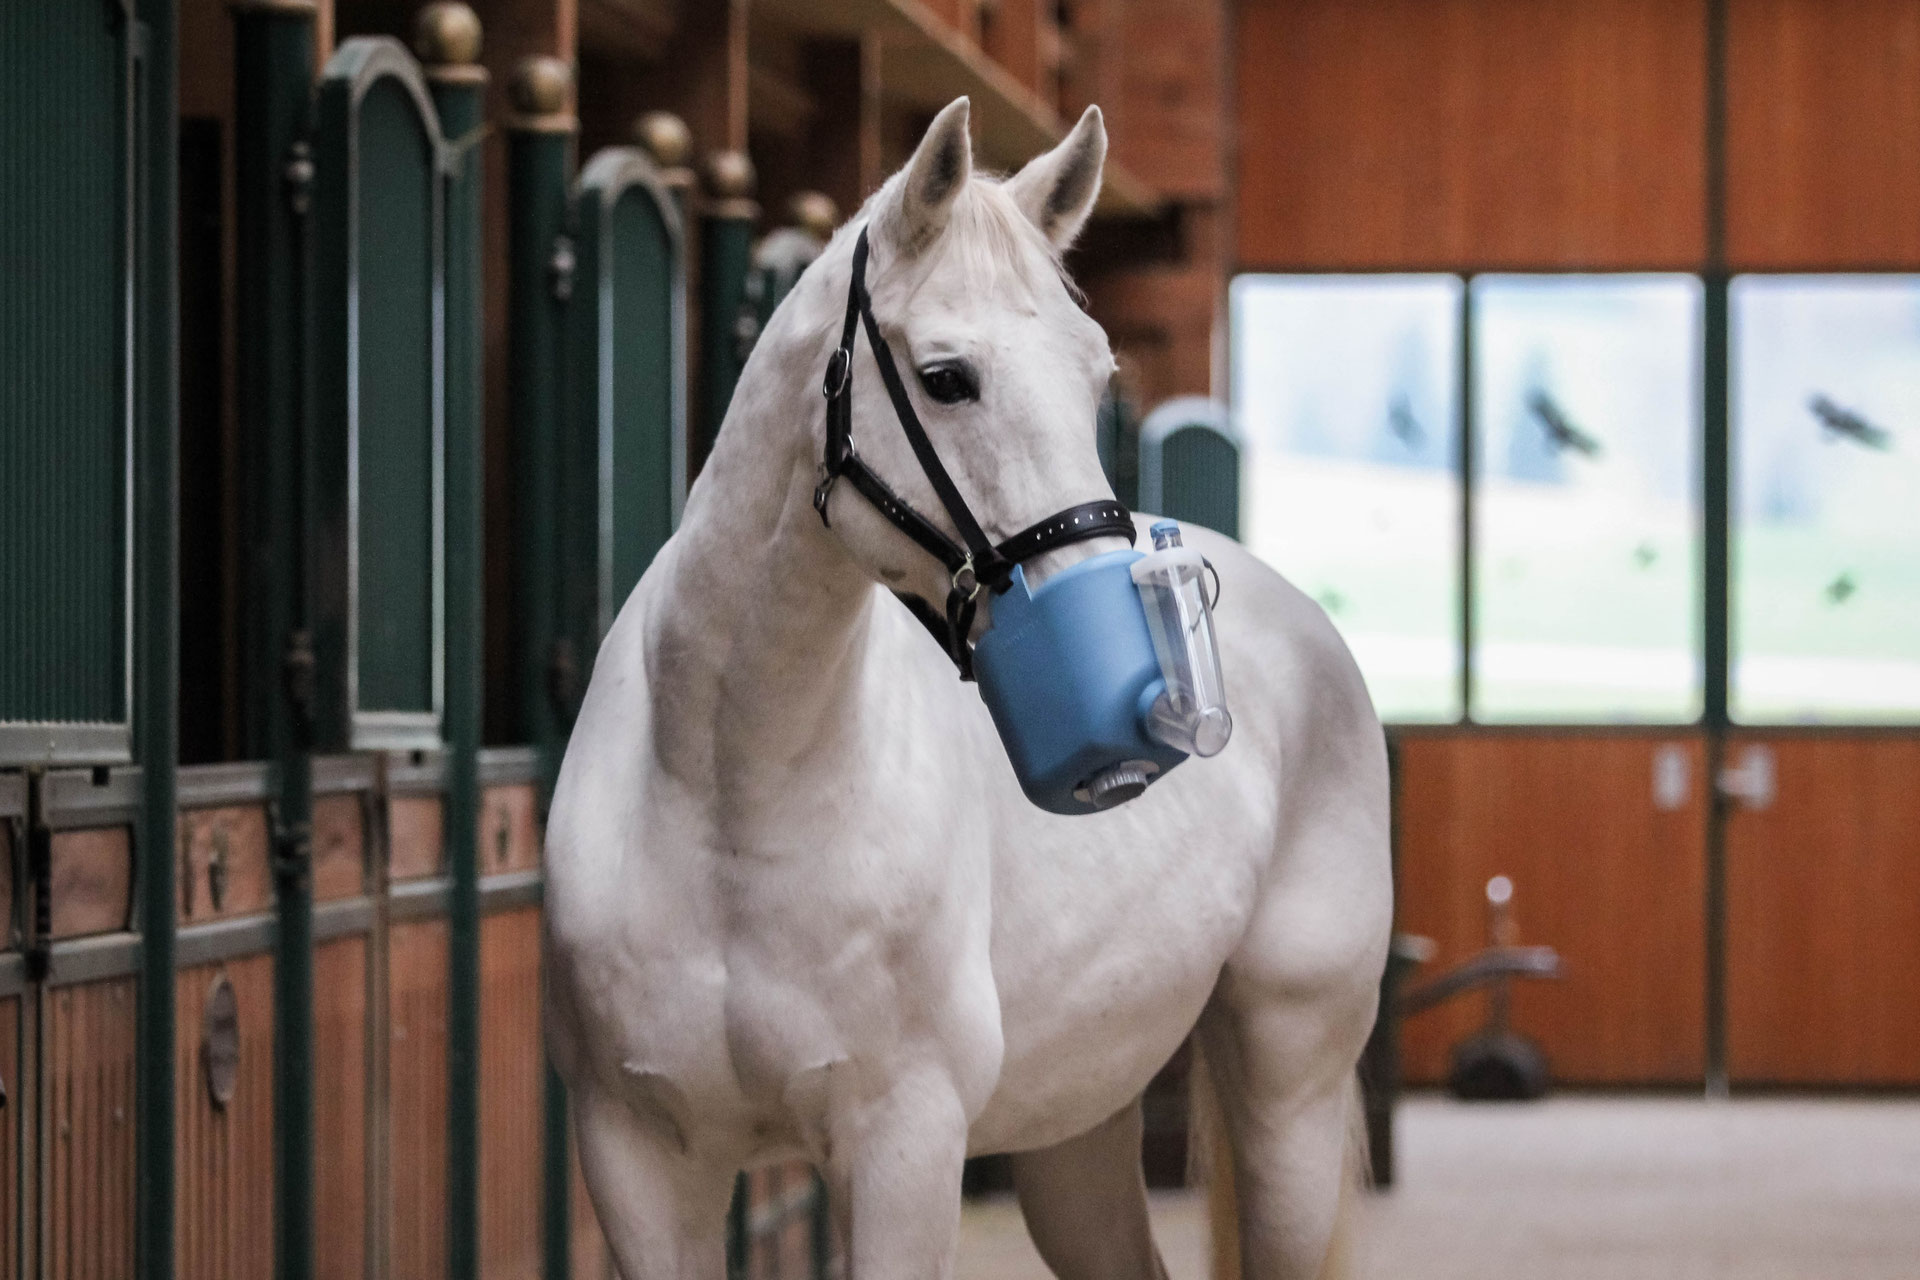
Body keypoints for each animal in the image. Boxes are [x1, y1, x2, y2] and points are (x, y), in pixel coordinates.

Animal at [543, 96, 1392, 1279]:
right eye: (948, 377)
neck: (729, 796)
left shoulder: (905, 1145)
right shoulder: (638, 1160)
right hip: (1077, 1111)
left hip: (1290, 1080)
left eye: (1096, 376)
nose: (1131, 680)